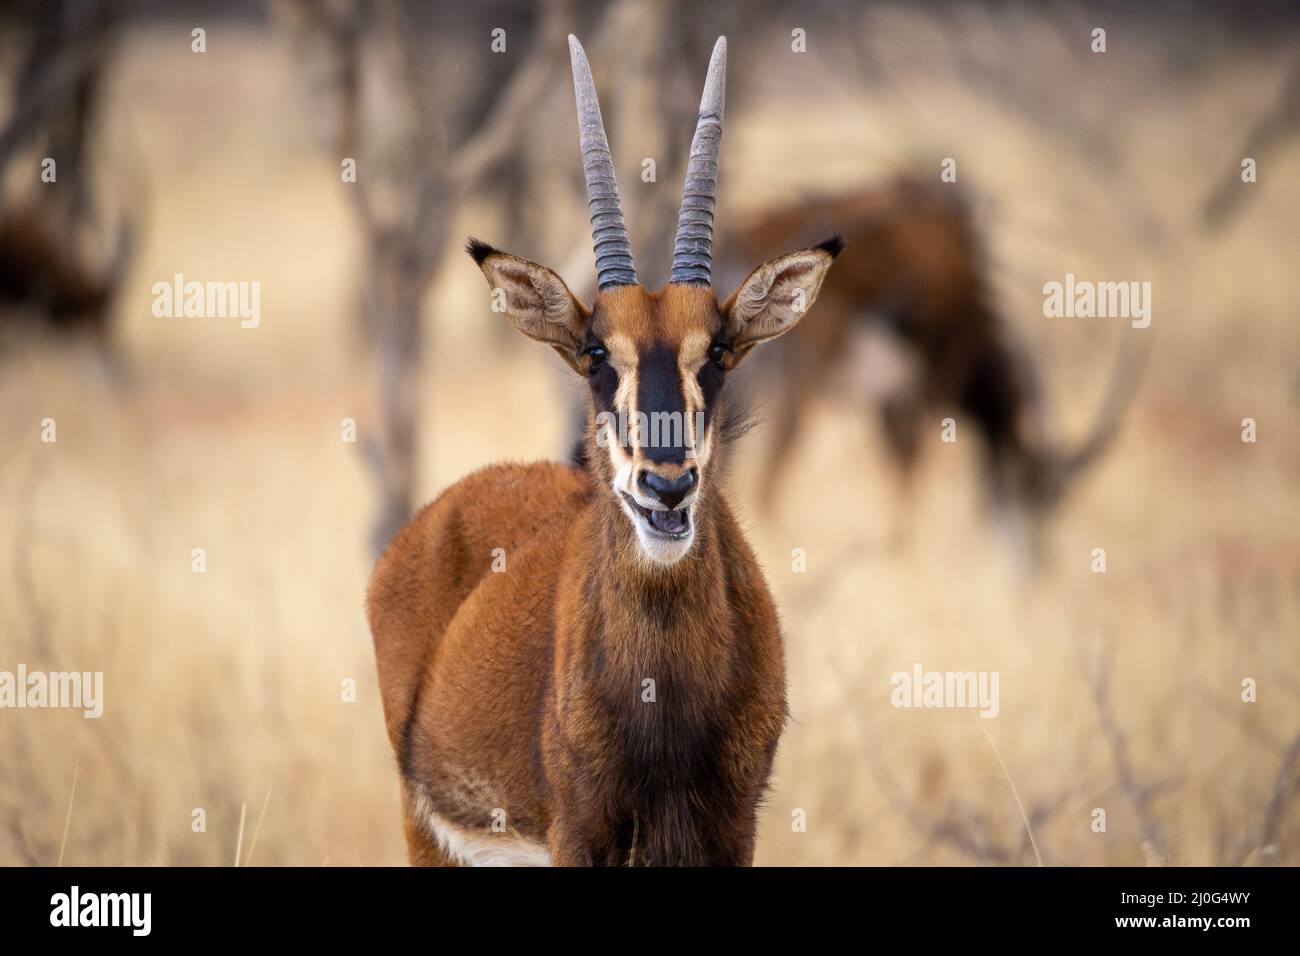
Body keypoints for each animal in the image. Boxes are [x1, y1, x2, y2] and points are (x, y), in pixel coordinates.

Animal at [367, 36, 841, 866]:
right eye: (595, 354)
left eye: (718, 352)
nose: (667, 487)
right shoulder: (578, 833)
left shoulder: (734, 830)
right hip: (428, 831)